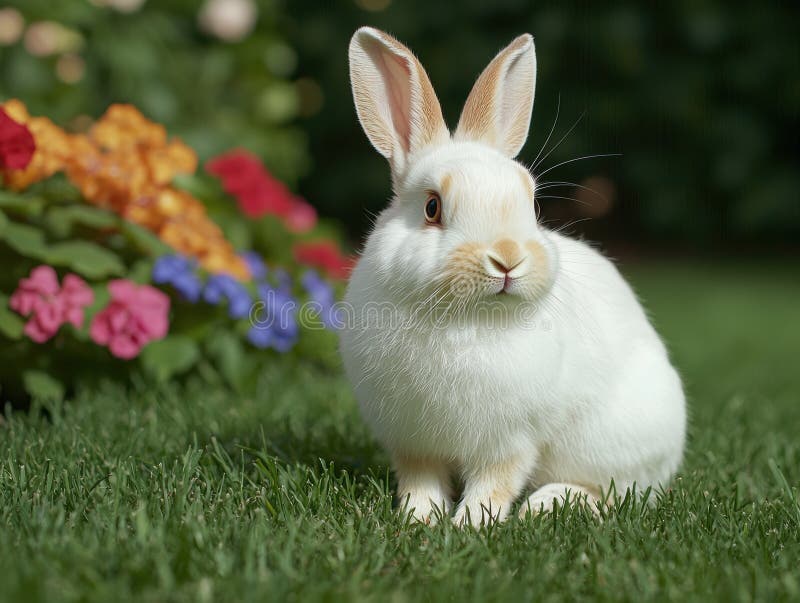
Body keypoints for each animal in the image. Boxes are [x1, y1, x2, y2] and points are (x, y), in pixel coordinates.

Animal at [340, 27, 686, 526]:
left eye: (533, 205)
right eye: (432, 207)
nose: (507, 259)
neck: (466, 320)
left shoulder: (510, 442)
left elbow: (495, 483)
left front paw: (471, 524)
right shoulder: (413, 442)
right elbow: (421, 481)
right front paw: (419, 519)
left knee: (615, 493)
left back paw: (545, 506)